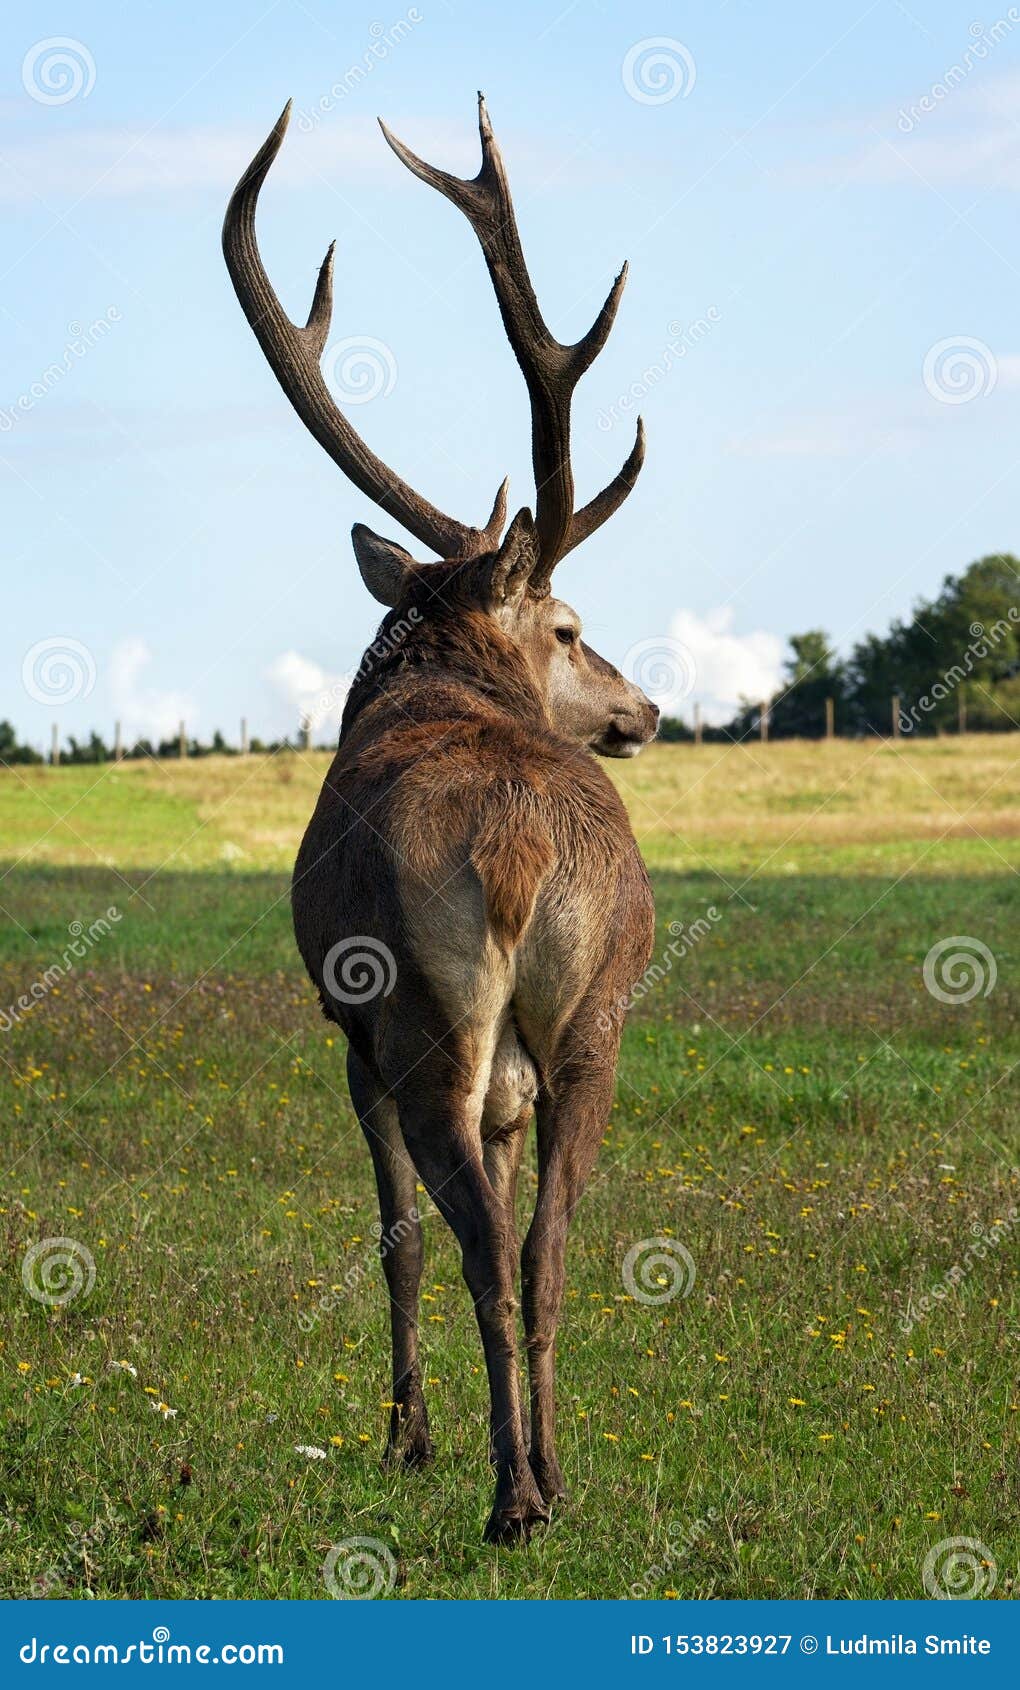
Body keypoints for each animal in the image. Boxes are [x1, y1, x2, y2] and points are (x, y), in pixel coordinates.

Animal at [223, 95, 659, 1544]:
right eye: (573, 629)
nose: (643, 706)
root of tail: (521, 854)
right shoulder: (522, 1066)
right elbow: (515, 1225)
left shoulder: (345, 1029)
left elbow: (395, 1234)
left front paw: (405, 1436)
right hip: (594, 1015)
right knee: (544, 1241)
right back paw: (552, 1477)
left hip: (416, 1009)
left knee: (460, 1230)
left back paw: (503, 1492)